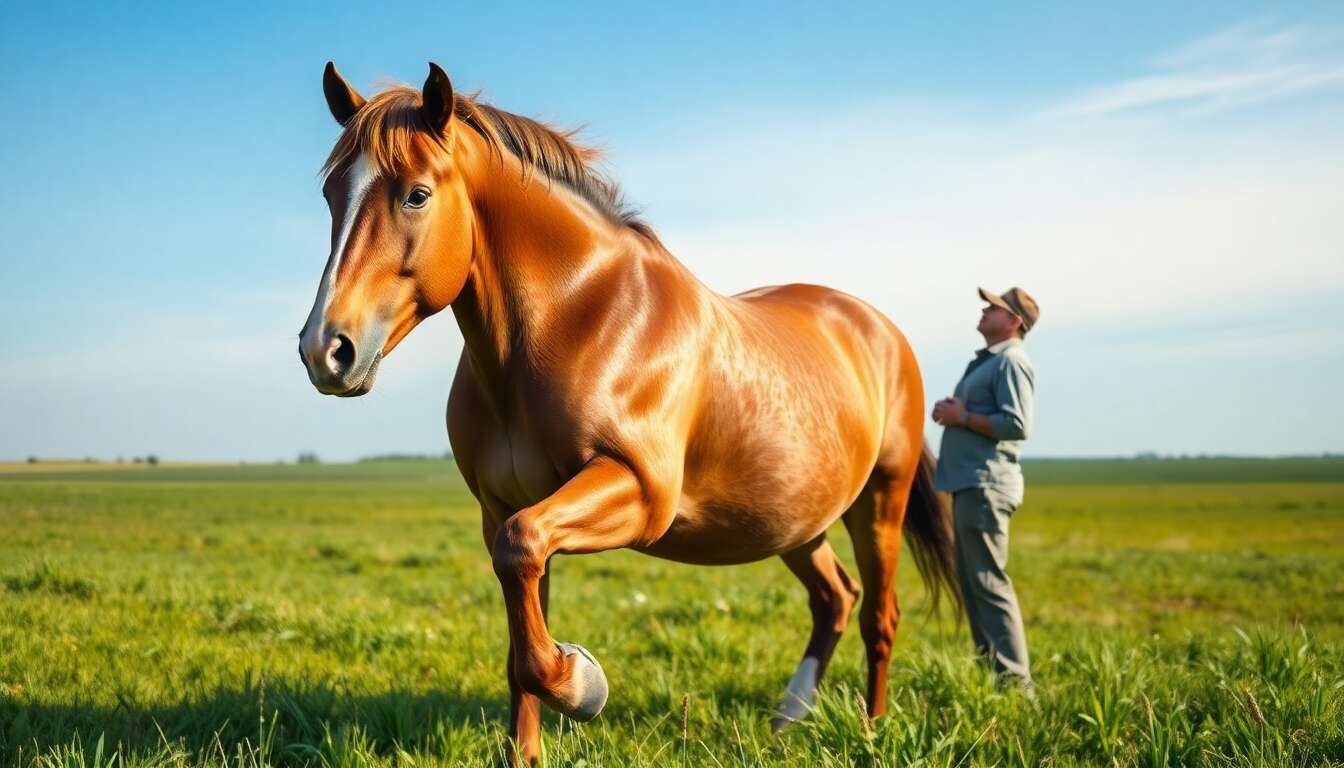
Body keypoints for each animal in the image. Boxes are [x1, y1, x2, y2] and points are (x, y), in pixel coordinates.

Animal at [298, 61, 960, 764]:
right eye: (332, 195)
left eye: (416, 195)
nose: (326, 350)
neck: (580, 317)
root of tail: (877, 328)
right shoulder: (503, 510)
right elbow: (519, 623)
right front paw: (531, 742)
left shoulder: (638, 494)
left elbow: (524, 564)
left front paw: (582, 683)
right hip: (797, 520)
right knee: (834, 598)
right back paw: (787, 719)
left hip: (880, 502)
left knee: (878, 615)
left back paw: (870, 729)